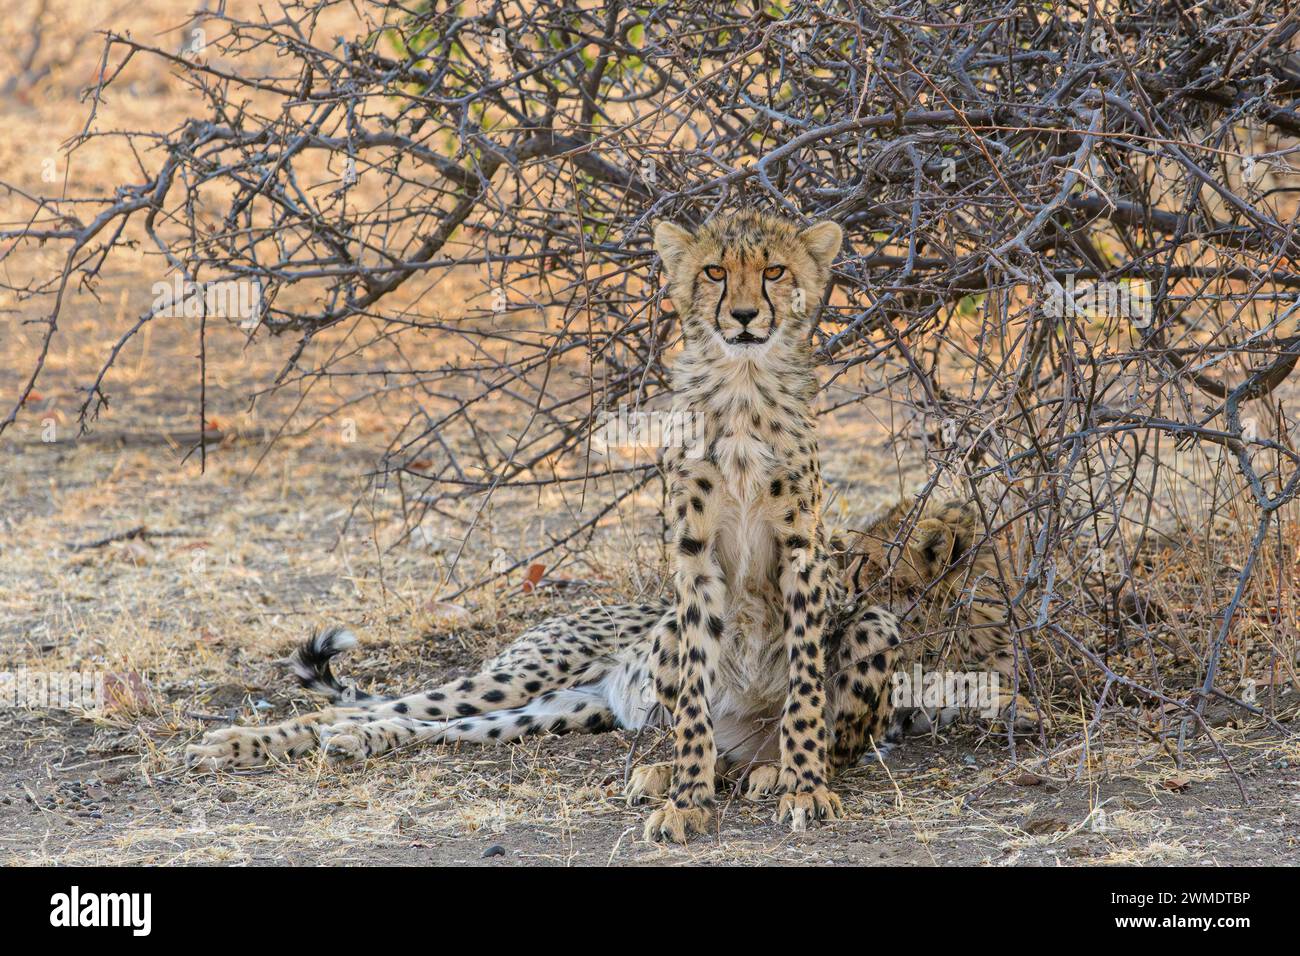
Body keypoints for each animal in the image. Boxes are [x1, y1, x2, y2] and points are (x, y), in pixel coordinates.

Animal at [185, 210, 1037, 843]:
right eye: (715, 272)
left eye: (775, 271)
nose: (744, 315)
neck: (742, 385)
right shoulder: (693, 559)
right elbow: (693, 704)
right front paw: (686, 799)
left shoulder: (801, 556)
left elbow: (803, 692)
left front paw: (802, 786)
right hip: (543, 675)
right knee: (397, 707)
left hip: (626, 689)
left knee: (430, 721)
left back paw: (757, 770)